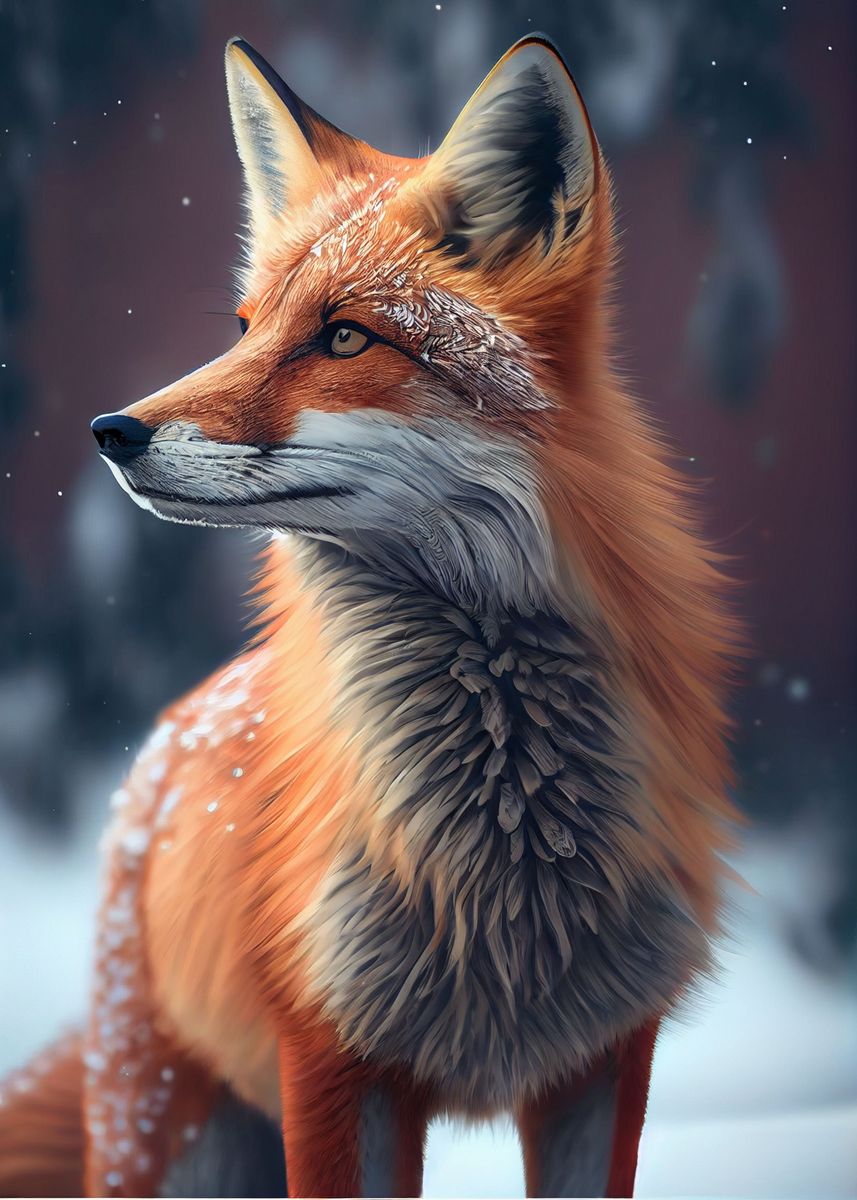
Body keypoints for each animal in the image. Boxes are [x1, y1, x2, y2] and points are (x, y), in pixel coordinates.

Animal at [0, 33, 742, 1199]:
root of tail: (172, 728)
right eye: (245, 328)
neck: (505, 849)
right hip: (155, 1138)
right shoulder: (334, 1057)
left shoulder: (601, 1057)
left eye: (344, 339)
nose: (110, 430)